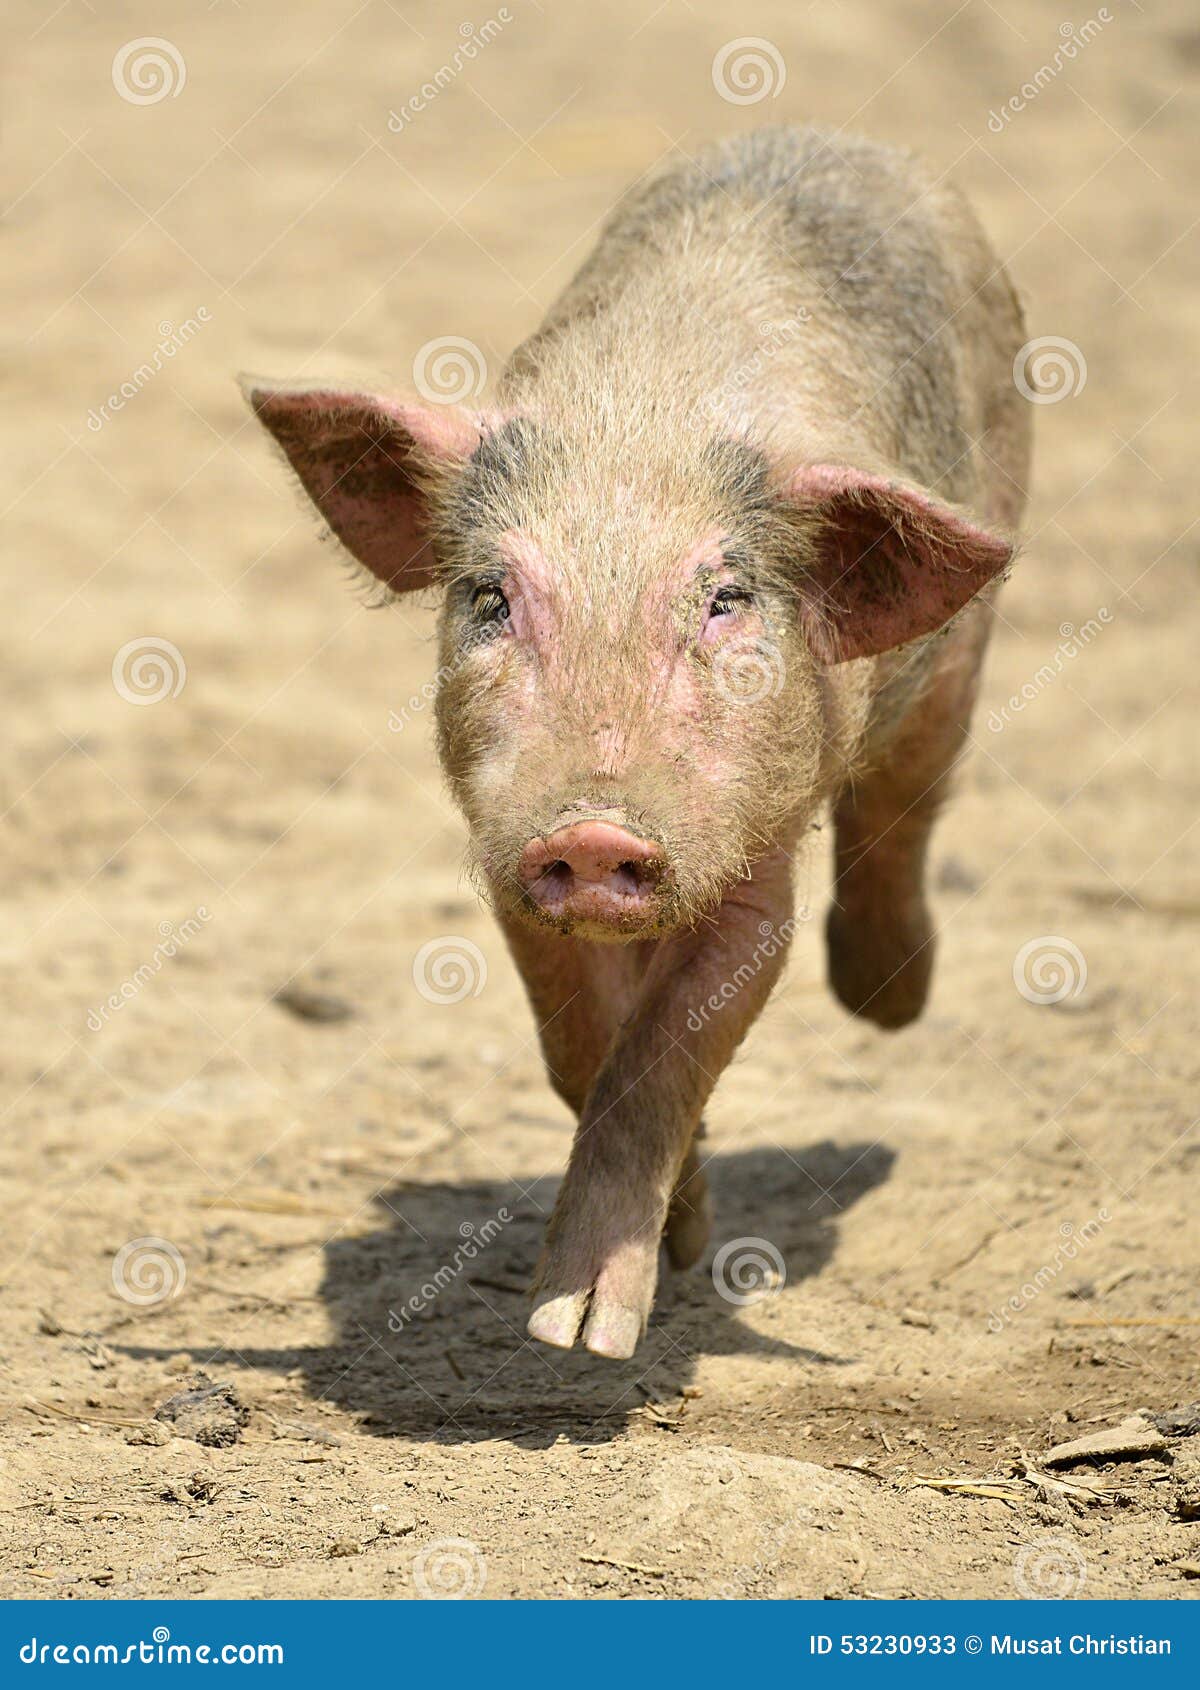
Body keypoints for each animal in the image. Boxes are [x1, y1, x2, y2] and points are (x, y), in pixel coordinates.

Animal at [245, 125, 1030, 1360]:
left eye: (724, 600)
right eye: (491, 595)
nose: (595, 828)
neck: (640, 416)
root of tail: (837, 136)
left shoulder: (754, 867)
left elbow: (662, 1051)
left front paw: (582, 1338)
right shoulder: (511, 859)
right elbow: (583, 1048)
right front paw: (672, 1250)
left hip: (962, 636)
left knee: (907, 796)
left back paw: (885, 1001)